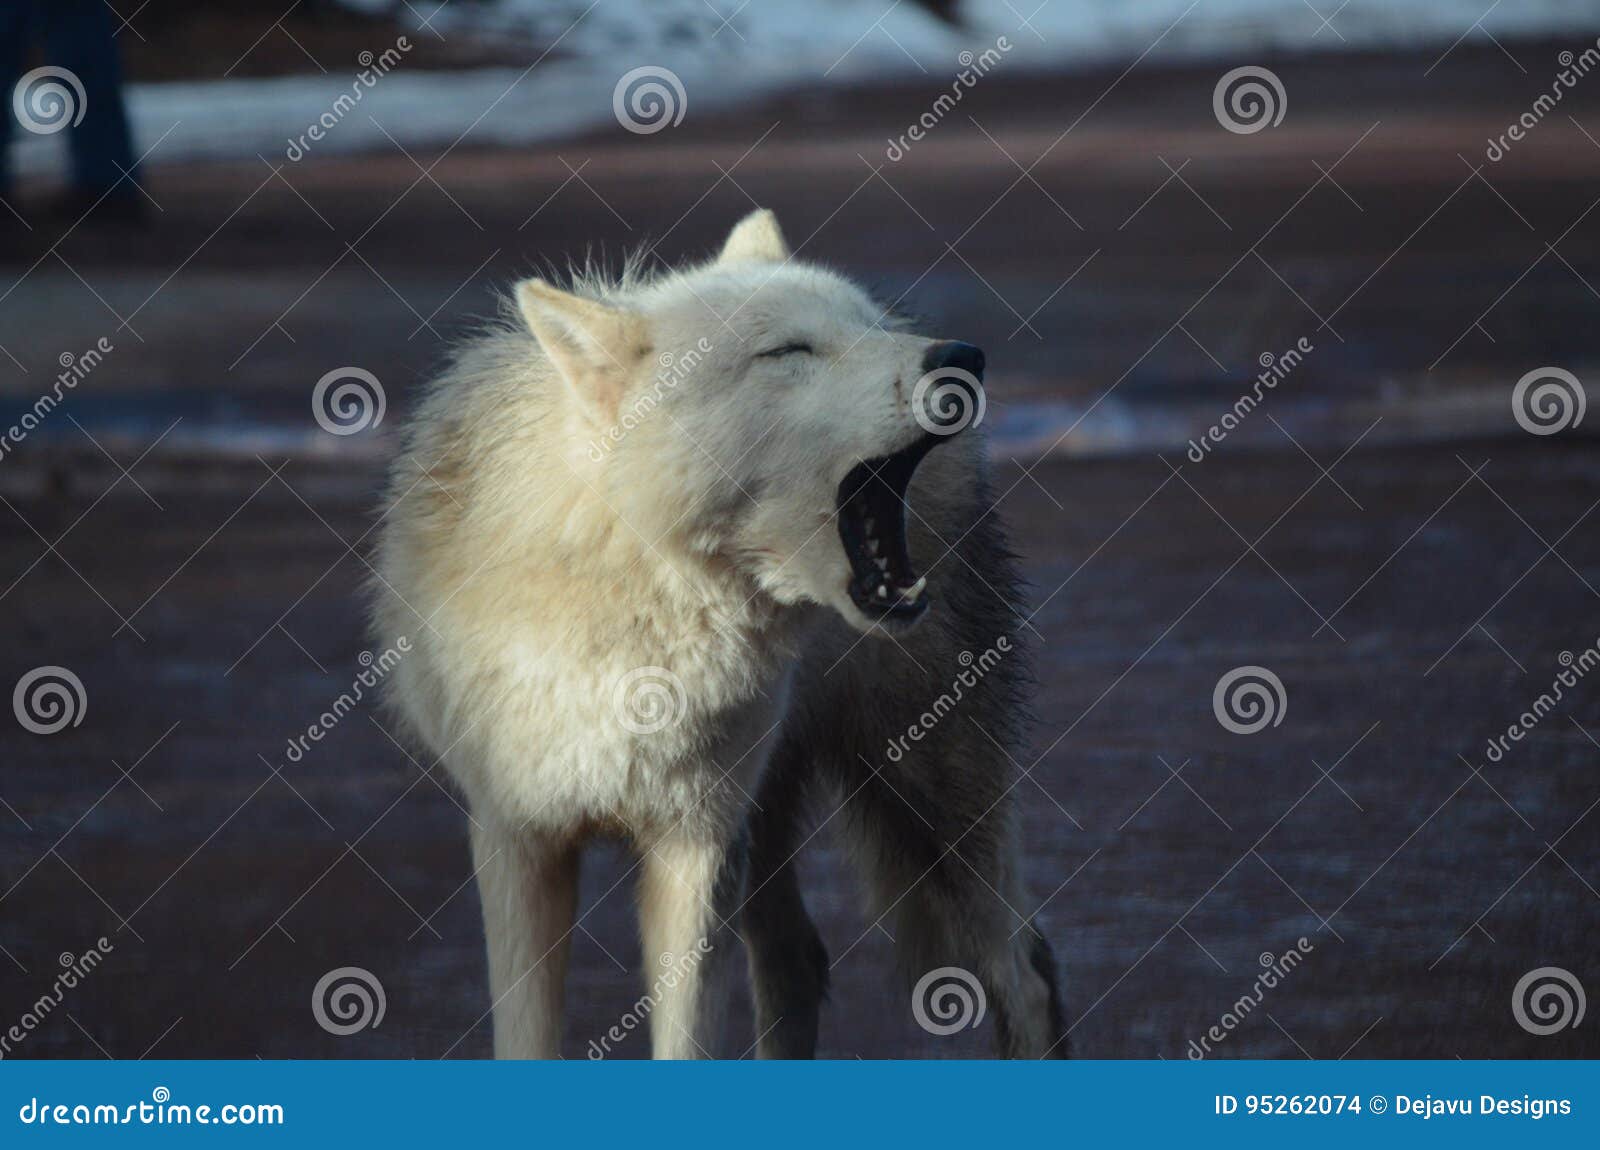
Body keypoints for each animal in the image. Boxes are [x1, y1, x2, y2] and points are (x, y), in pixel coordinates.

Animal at [370, 210, 1066, 1058]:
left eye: (866, 329)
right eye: (789, 352)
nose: (963, 358)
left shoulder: (692, 845)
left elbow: (685, 1040)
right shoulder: (518, 838)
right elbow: (527, 1038)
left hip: (923, 797)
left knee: (1027, 970)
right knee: (800, 959)